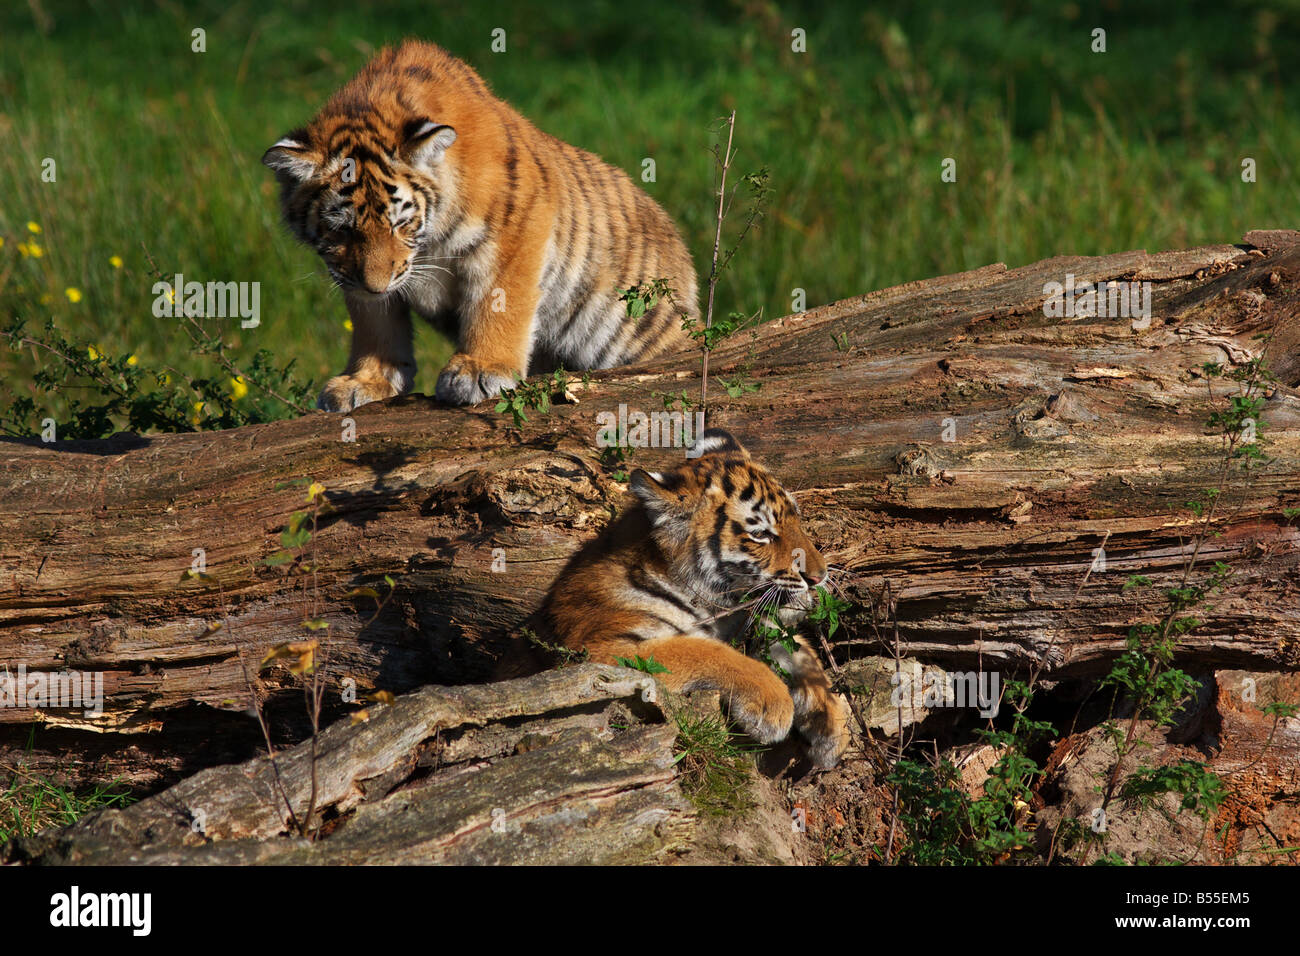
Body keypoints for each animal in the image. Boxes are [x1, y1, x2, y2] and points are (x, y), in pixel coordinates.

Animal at [262, 39, 698, 412]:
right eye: (343, 230)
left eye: (401, 225)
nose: (377, 285)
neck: (430, 240)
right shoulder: (353, 272)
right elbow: (374, 320)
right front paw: (364, 381)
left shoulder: (517, 224)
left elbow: (499, 299)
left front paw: (482, 370)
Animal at [543, 429, 852, 768]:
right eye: (760, 534)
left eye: (796, 517)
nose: (820, 576)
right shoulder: (600, 651)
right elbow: (702, 648)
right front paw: (772, 700)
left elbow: (801, 651)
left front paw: (834, 721)